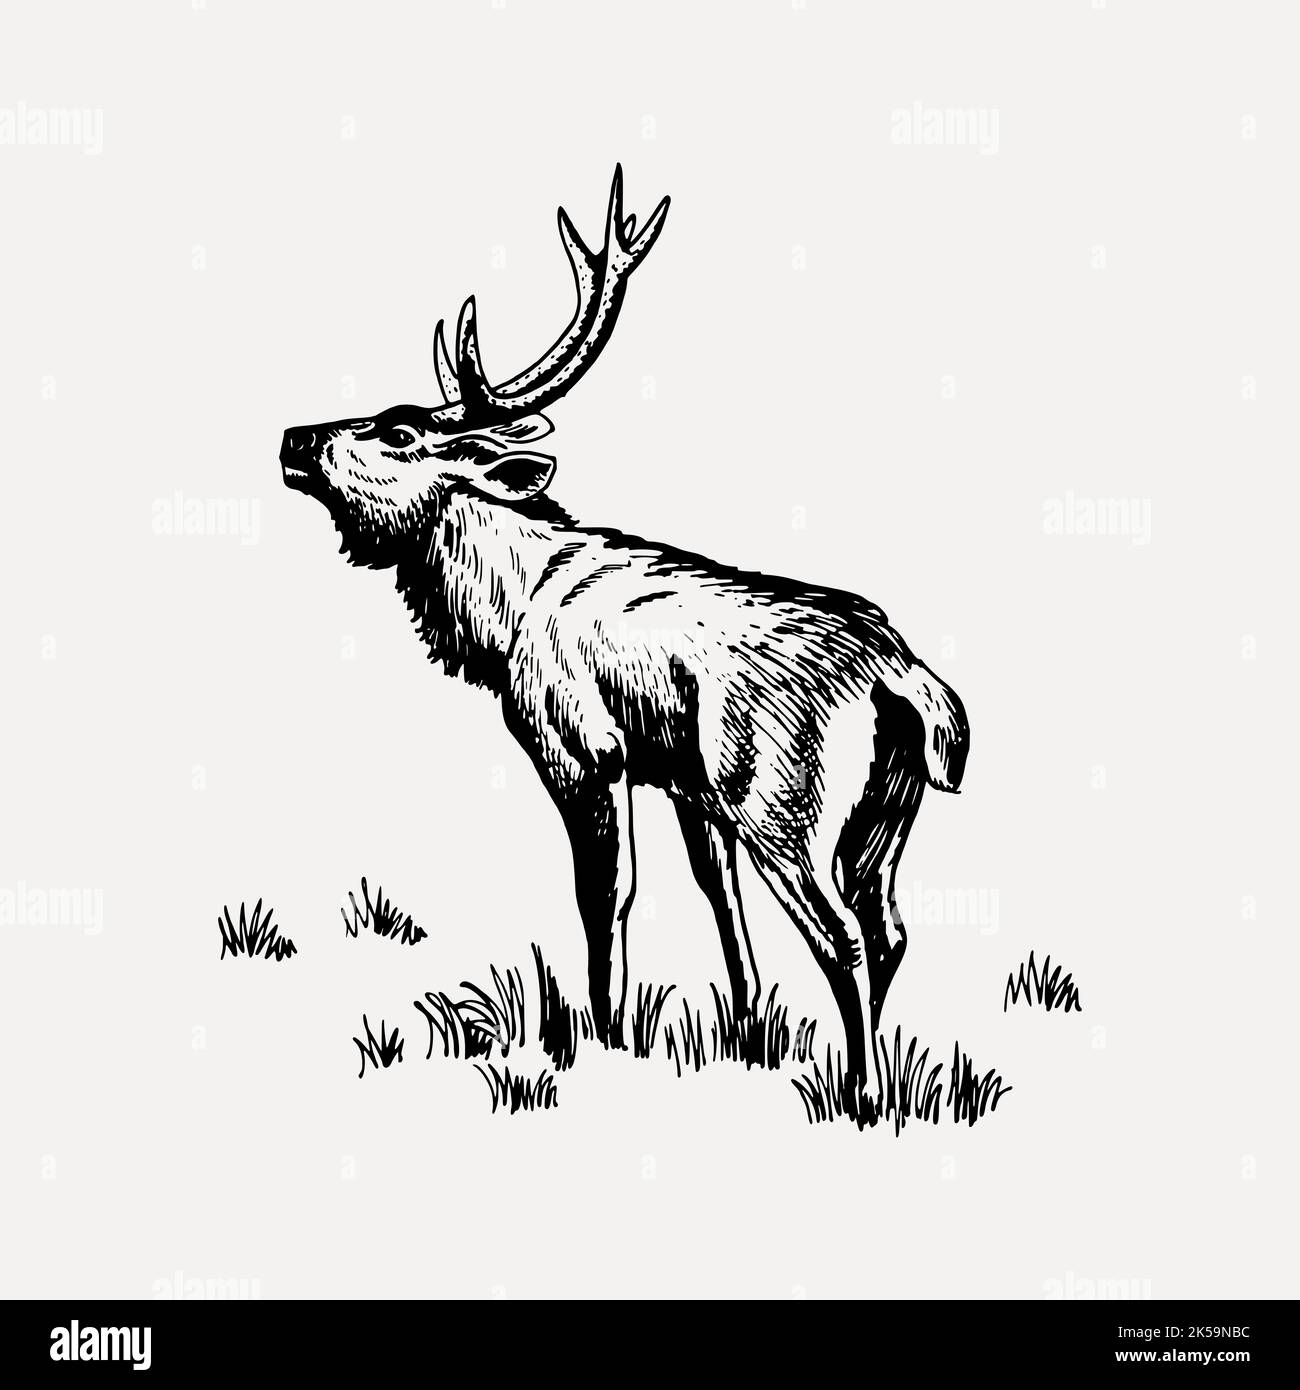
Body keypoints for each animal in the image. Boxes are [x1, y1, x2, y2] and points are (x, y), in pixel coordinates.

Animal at [280, 169, 969, 1118]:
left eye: (401, 431)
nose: (294, 438)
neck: (501, 619)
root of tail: (909, 685)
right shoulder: (685, 781)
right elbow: (716, 897)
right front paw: (747, 1032)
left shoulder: (584, 749)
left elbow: (604, 894)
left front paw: (602, 1037)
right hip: (881, 814)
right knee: (890, 930)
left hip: (782, 801)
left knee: (843, 938)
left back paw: (863, 1095)